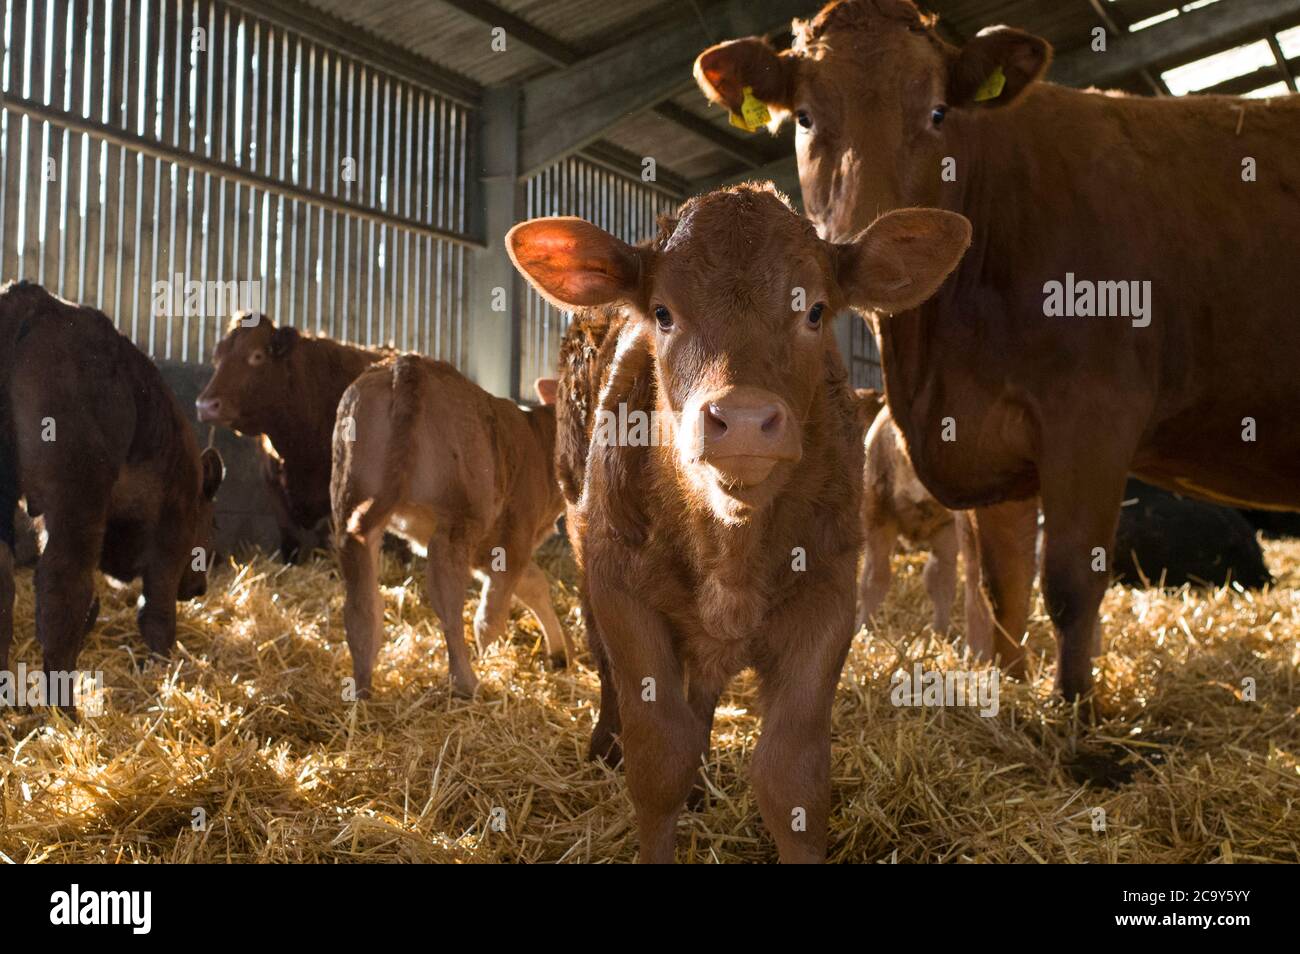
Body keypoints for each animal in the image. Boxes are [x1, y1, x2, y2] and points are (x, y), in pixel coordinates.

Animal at [0, 281, 224, 684]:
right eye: (213, 525)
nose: (199, 588)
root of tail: (32, 298)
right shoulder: (170, 540)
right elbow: (156, 613)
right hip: (78, 500)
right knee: (63, 591)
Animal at [330, 355, 572, 698]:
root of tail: (405, 364)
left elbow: (534, 584)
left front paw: (559, 653)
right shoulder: (511, 540)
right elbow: (492, 613)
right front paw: (491, 660)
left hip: (349, 501)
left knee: (362, 606)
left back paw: (362, 687)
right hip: (457, 520)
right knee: (449, 600)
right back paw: (467, 683)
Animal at [508, 183, 970, 862]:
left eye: (815, 312)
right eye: (663, 313)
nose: (746, 419)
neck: (729, 541)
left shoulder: (829, 595)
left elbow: (791, 779)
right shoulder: (622, 590)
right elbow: (658, 761)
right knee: (606, 664)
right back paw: (604, 746)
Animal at [695, 0, 1300, 701]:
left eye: (938, 112)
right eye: (804, 117)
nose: (862, 237)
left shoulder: (1094, 416)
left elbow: (1068, 582)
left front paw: (1076, 713)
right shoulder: (990, 443)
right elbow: (1002, 588)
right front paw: (1011, 690)